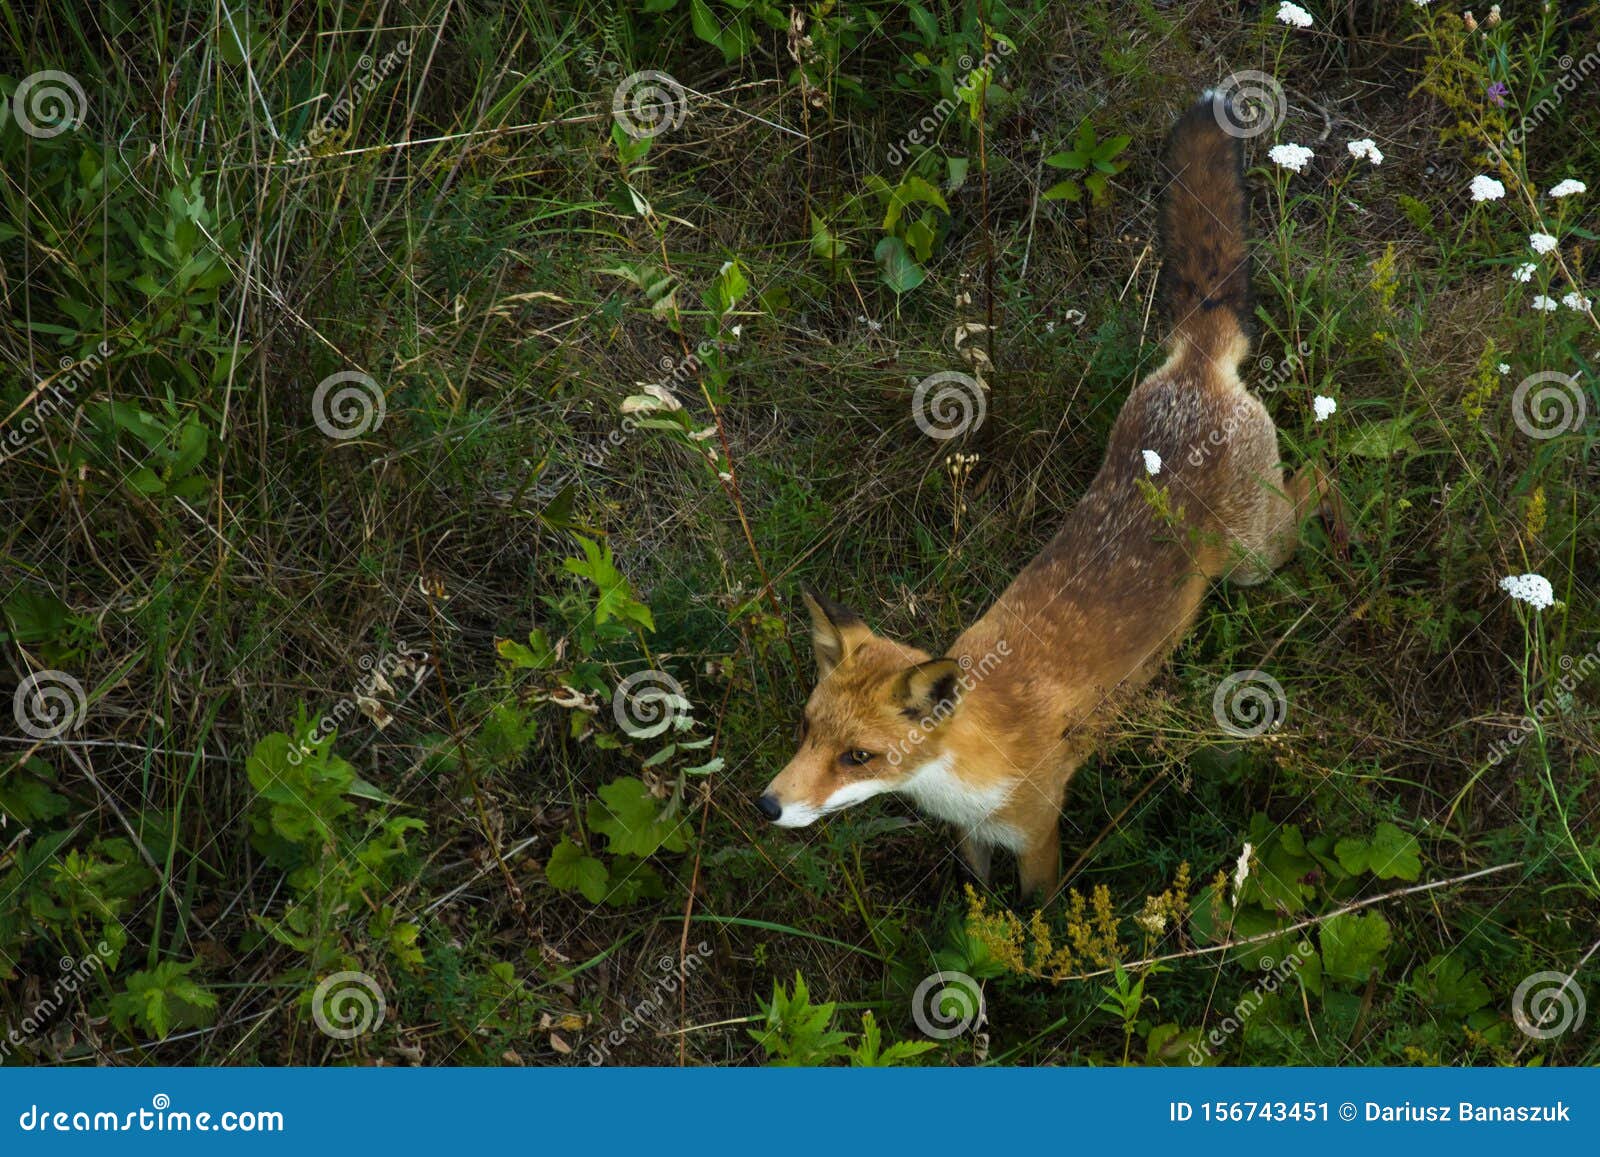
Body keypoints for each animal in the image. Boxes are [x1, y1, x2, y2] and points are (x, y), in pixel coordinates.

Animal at [755, 91, 1345, 898]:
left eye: (859, 757)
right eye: (808, 730)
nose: (766, 805)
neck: (965, 769)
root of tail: (1195, 363)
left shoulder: (1037, 836)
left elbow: (1034, 913)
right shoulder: (970, 836)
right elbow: (976, 896)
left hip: (1258, 553)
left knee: (1323, 477)